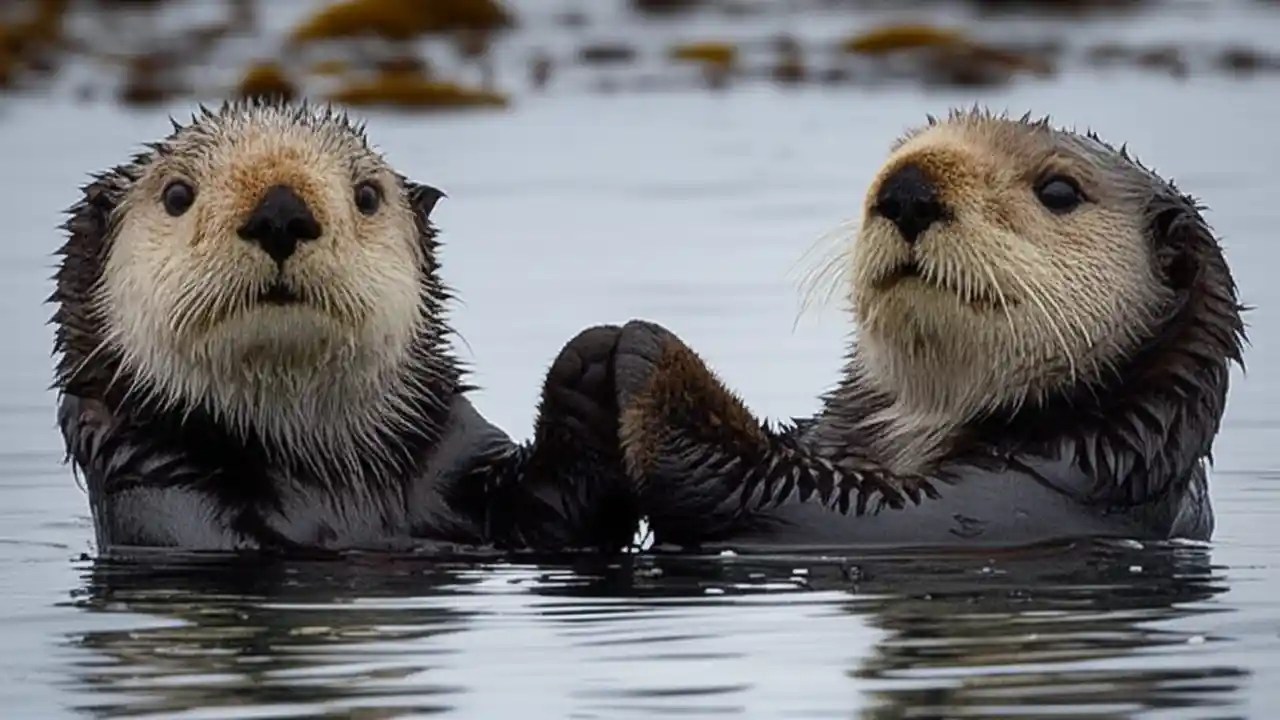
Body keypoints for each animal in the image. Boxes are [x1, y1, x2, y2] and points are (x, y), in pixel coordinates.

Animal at [51, 99, 634, 555]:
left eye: (367, 195)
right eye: (176, 195)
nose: (280, 213)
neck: (320, 468)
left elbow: (553, 516)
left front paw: (593, 374)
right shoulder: (170, 502)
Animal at [607, 108, 1247, 551]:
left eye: (1060, 190)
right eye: (896, 154)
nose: (907, 189)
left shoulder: (1010, 500)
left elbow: (823, 503)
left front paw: (652, 360)